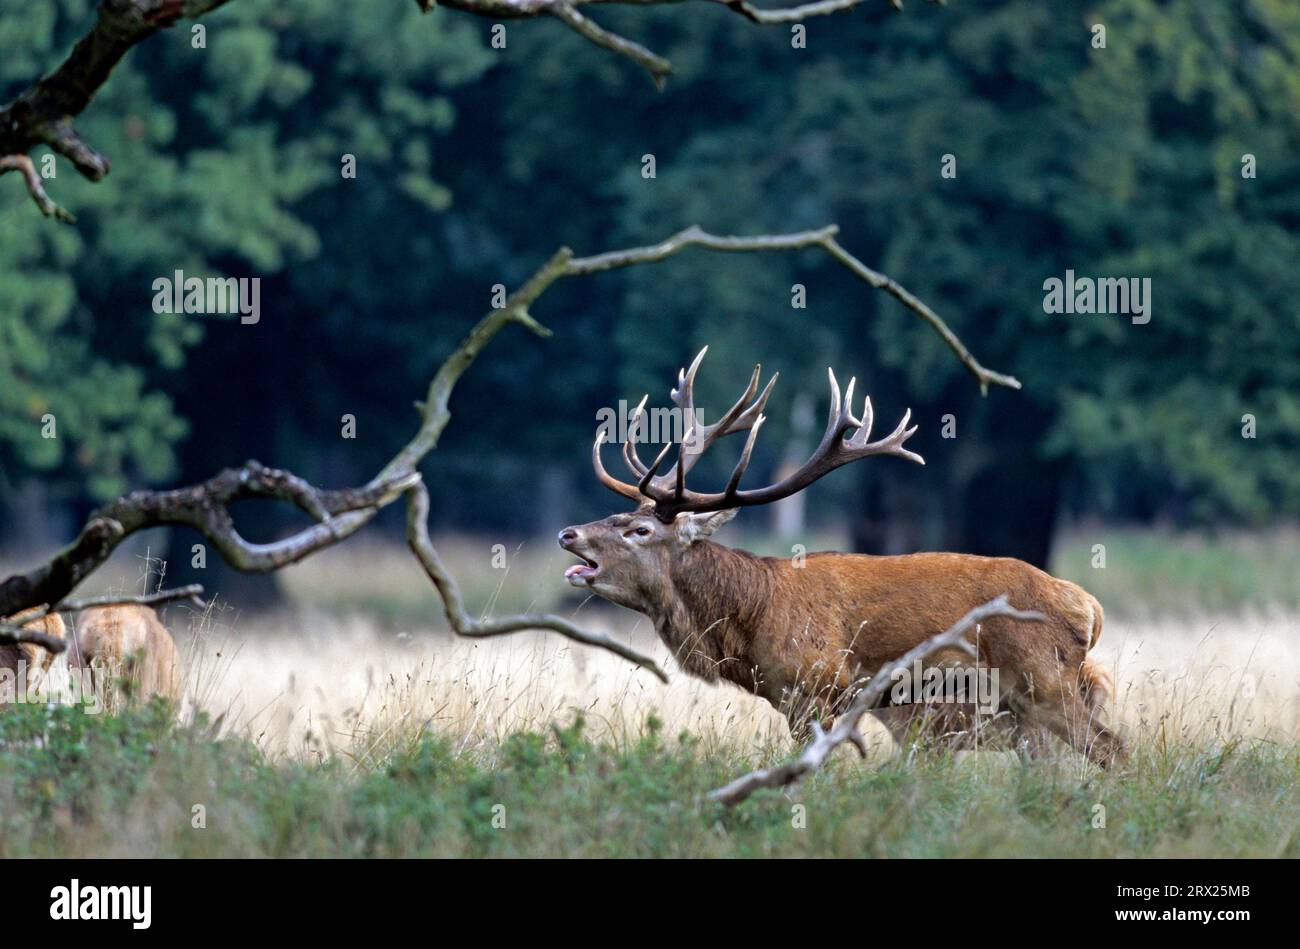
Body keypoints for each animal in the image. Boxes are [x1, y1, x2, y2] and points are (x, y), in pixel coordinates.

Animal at [559, 348, 1124, 767]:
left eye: (640, 529)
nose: (568, 533)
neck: (751, 621)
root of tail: (1088, 608)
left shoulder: (815, 686)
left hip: (1041, 678)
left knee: (1112, 748)